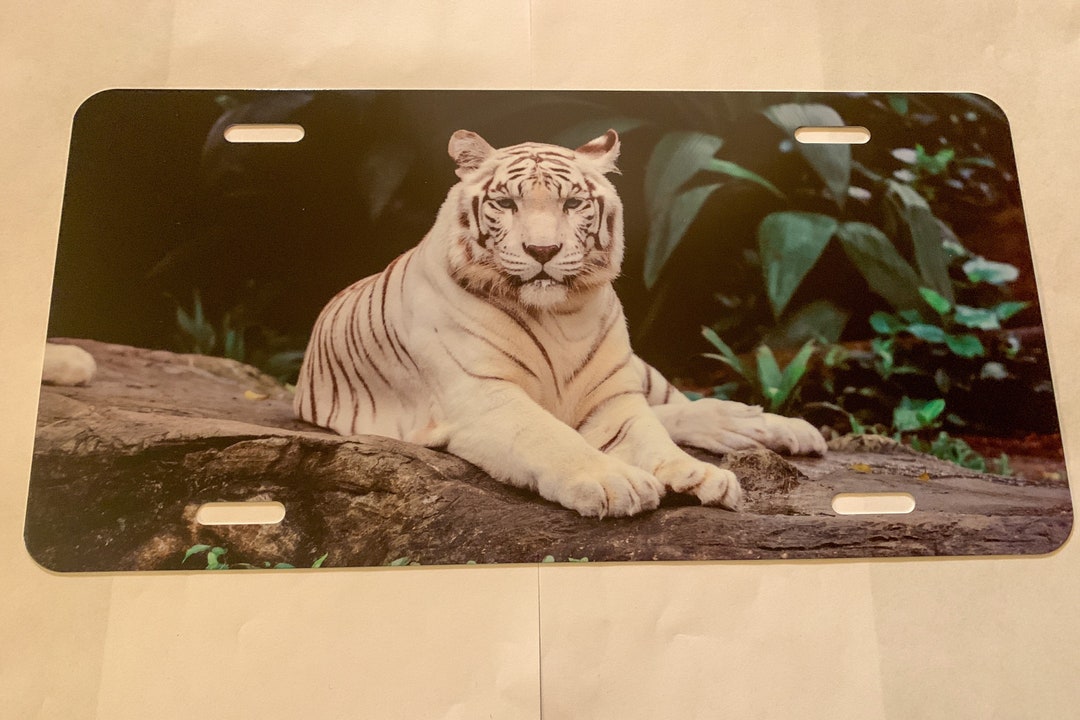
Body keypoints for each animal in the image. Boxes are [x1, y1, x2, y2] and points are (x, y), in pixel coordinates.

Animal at [294, 129, 826, 518]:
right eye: (506, 203)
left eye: (572, 204)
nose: (543, 250)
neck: (559, 317)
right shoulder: (486, 396)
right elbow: (552, 437)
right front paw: (615, 482)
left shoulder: (612, 400)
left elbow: (651, 435)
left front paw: (697, 475)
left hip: (638, 372)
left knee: (675, 407)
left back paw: (781, 429)